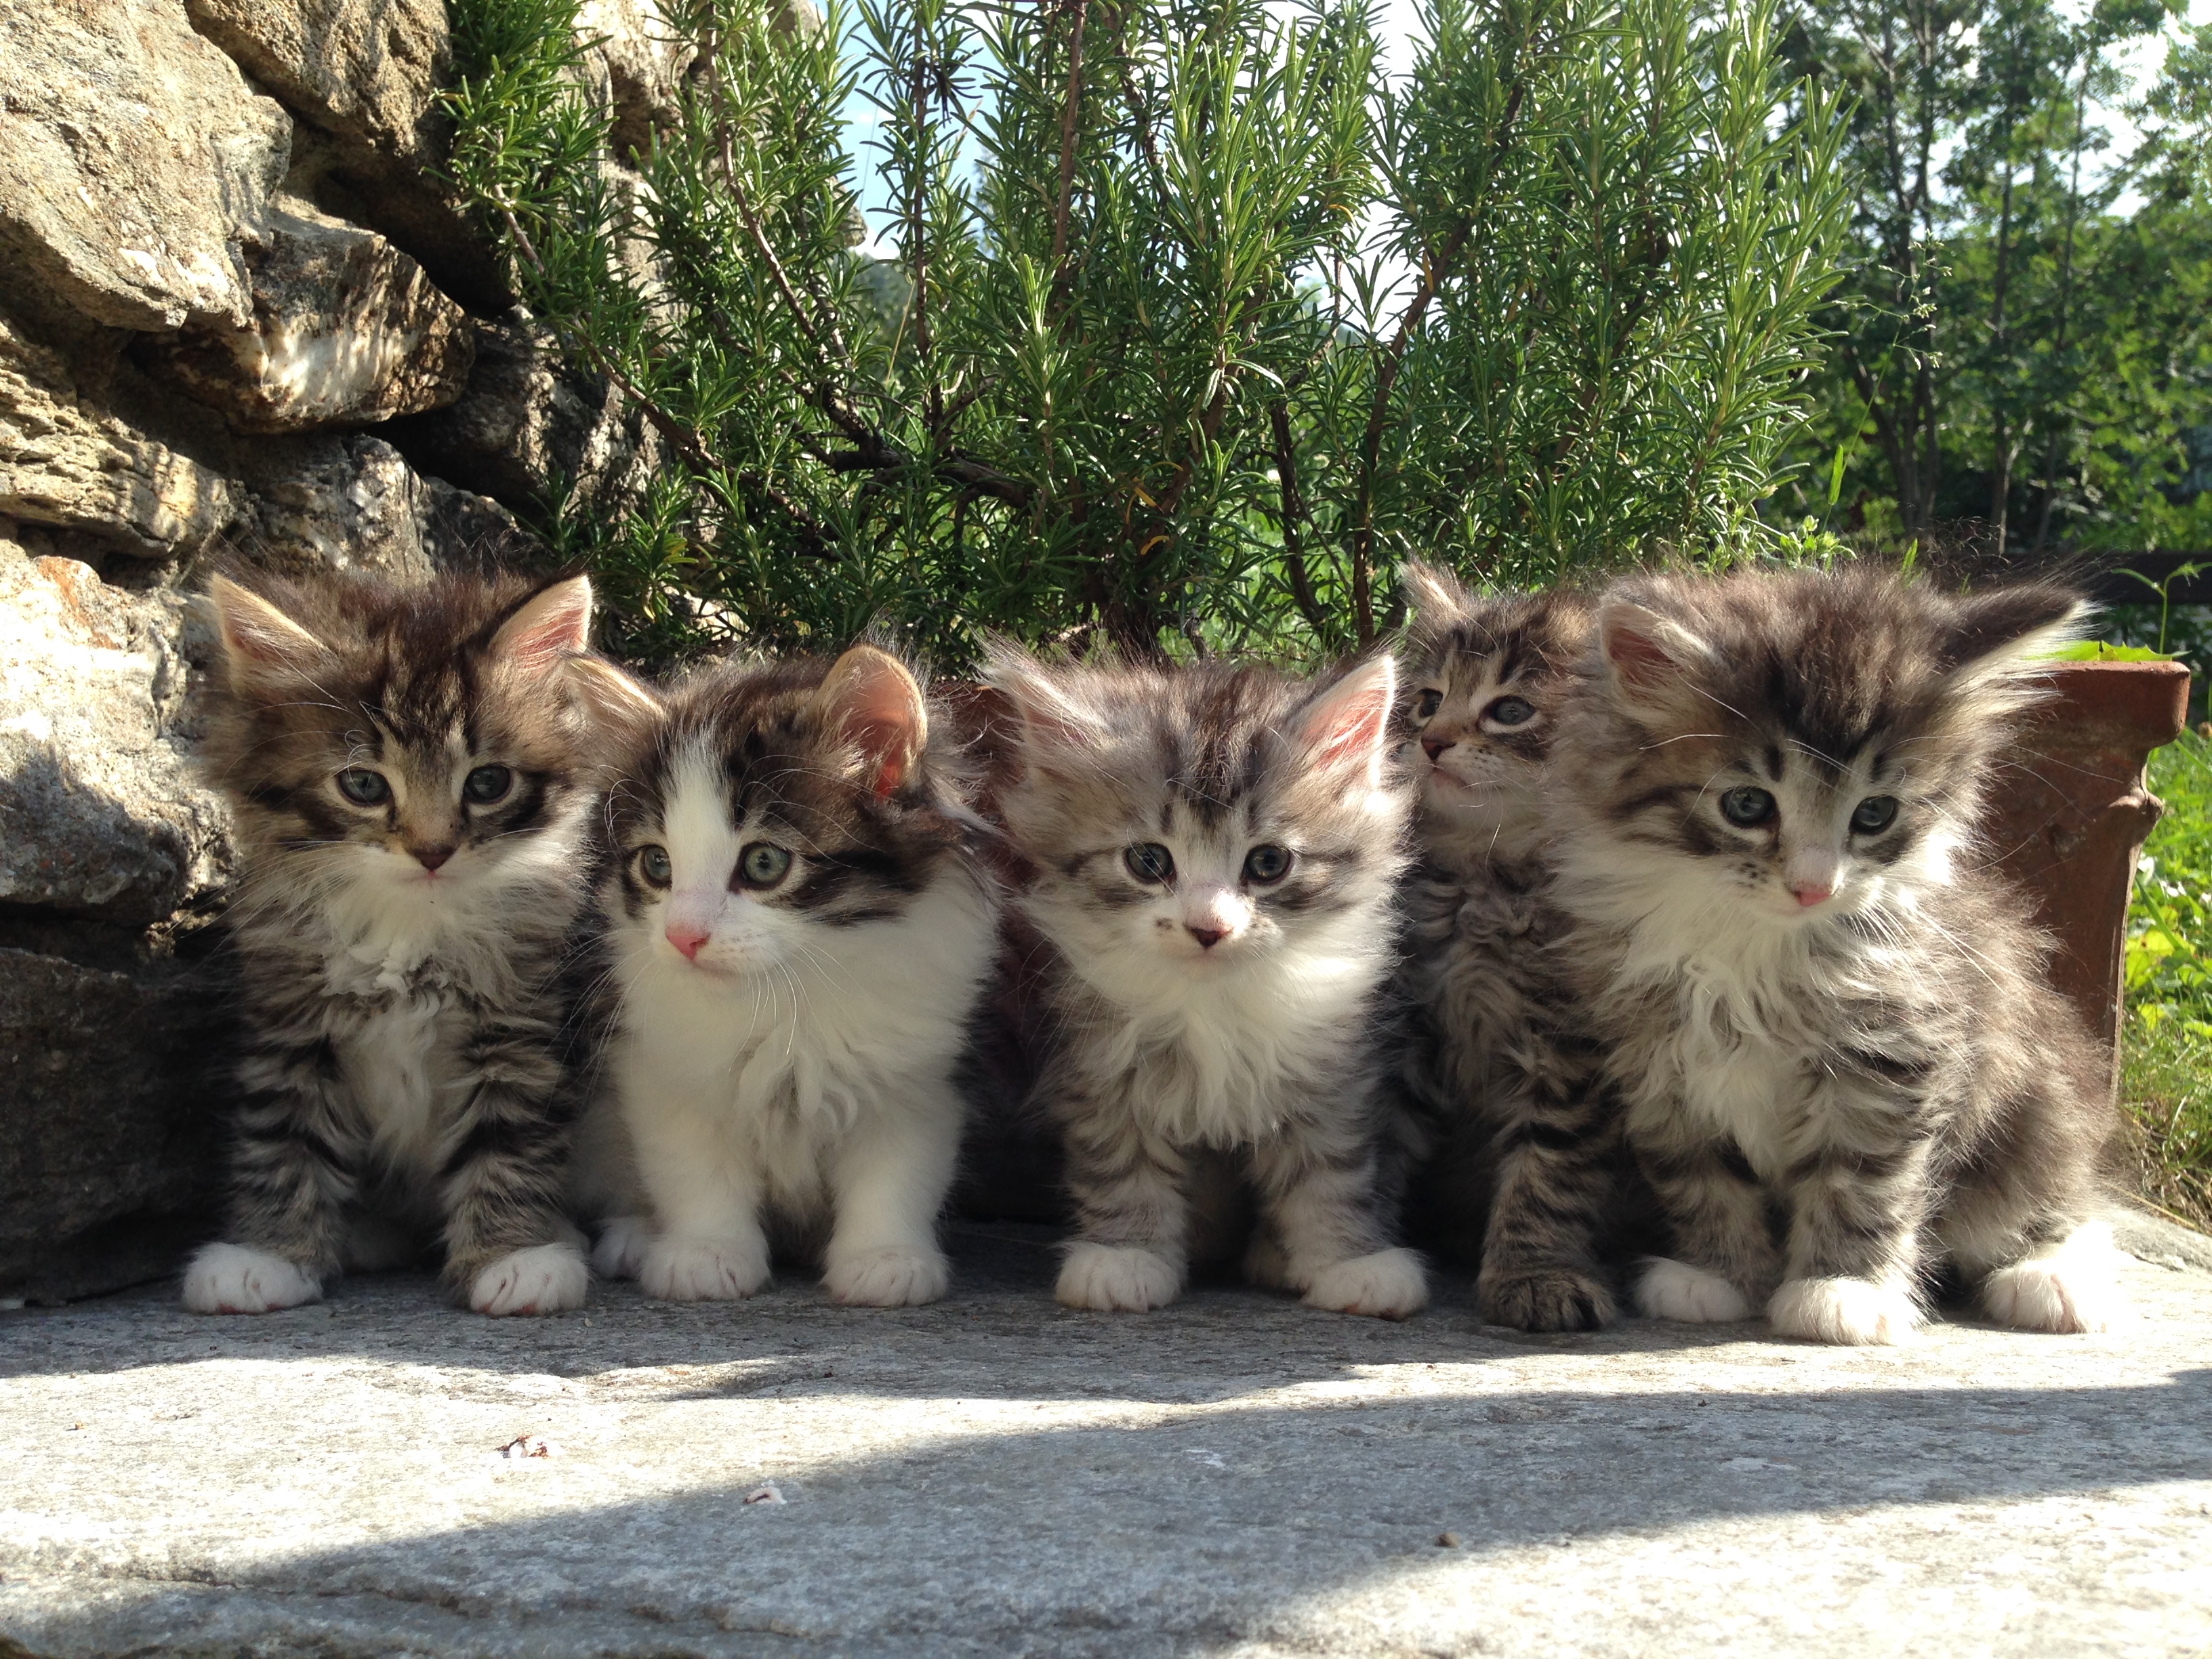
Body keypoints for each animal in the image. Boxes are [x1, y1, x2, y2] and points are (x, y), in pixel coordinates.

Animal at [183, 566, 606, 1318]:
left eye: (488, 782)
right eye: (362, 784)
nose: (433, 851)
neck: (409, 926)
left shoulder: (515, 1025)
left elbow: (507, 1134)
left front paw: (513, 1255)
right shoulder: (291, 1026)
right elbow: (283, 1134)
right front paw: (269, 1254)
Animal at [566, 641, 1000, 1309]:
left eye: (765, 863)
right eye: (657, 864)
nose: (683, 936)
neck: (789, 994)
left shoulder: (918, 1082)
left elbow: (897, 1174)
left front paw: (885, 1258)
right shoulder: (662, 1073)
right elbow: (694, 1170)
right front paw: (706, 1252)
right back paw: (636, 1237)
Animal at [986, 641, 1433, 1318]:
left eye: (1269, 863)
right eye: (1148, 861)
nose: (1209, 927)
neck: (1213, 1003)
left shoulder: (1336, 1077)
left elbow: (1333, 1174)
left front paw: (1350, 1262)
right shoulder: (1102, 1066)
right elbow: (1124, 1163)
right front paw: (1127, 1257)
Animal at [1389, 566, 1637, 1336]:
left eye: (1511, 711)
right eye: (1427, 702)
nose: (1433, 740)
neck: (1487, 886)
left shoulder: (1571, 1053)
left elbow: (1549, 1170)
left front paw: (1534, 1273)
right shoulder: (1407, 1024)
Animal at [1557, 571, 2123, 1353]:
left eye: (1875, 814)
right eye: (1747, 805)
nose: (1813, 886)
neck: (1755, 947)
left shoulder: (1894, 1052)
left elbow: (1862, 1180)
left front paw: (1842, 1292)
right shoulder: (1658, 1059)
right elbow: (1702, 1174)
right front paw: (1717, 1274)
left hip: (2039, 1101)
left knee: (2061, 1199)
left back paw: (2050, 1276)